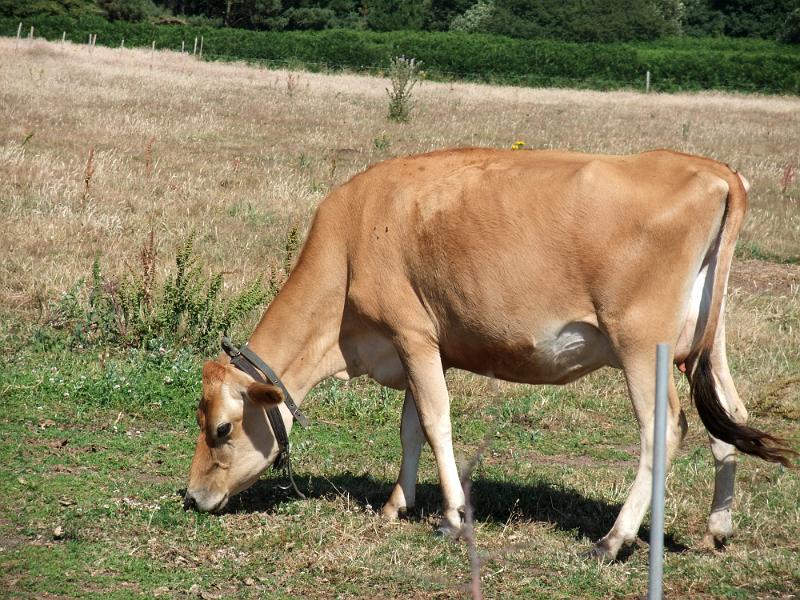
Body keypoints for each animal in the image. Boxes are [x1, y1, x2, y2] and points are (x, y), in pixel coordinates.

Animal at [183, 148, 795, 560]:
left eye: (221, 429)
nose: (191, 497)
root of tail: (712, 170)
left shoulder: (411, 333)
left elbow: (435, 421)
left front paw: (453, 517)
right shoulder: (424, 346)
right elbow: (410, 426)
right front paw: (397, 503)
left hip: (643, 342)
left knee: (664, 427)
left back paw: (614, 539)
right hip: (705, 342)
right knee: (730, 417)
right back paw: (718, 530)